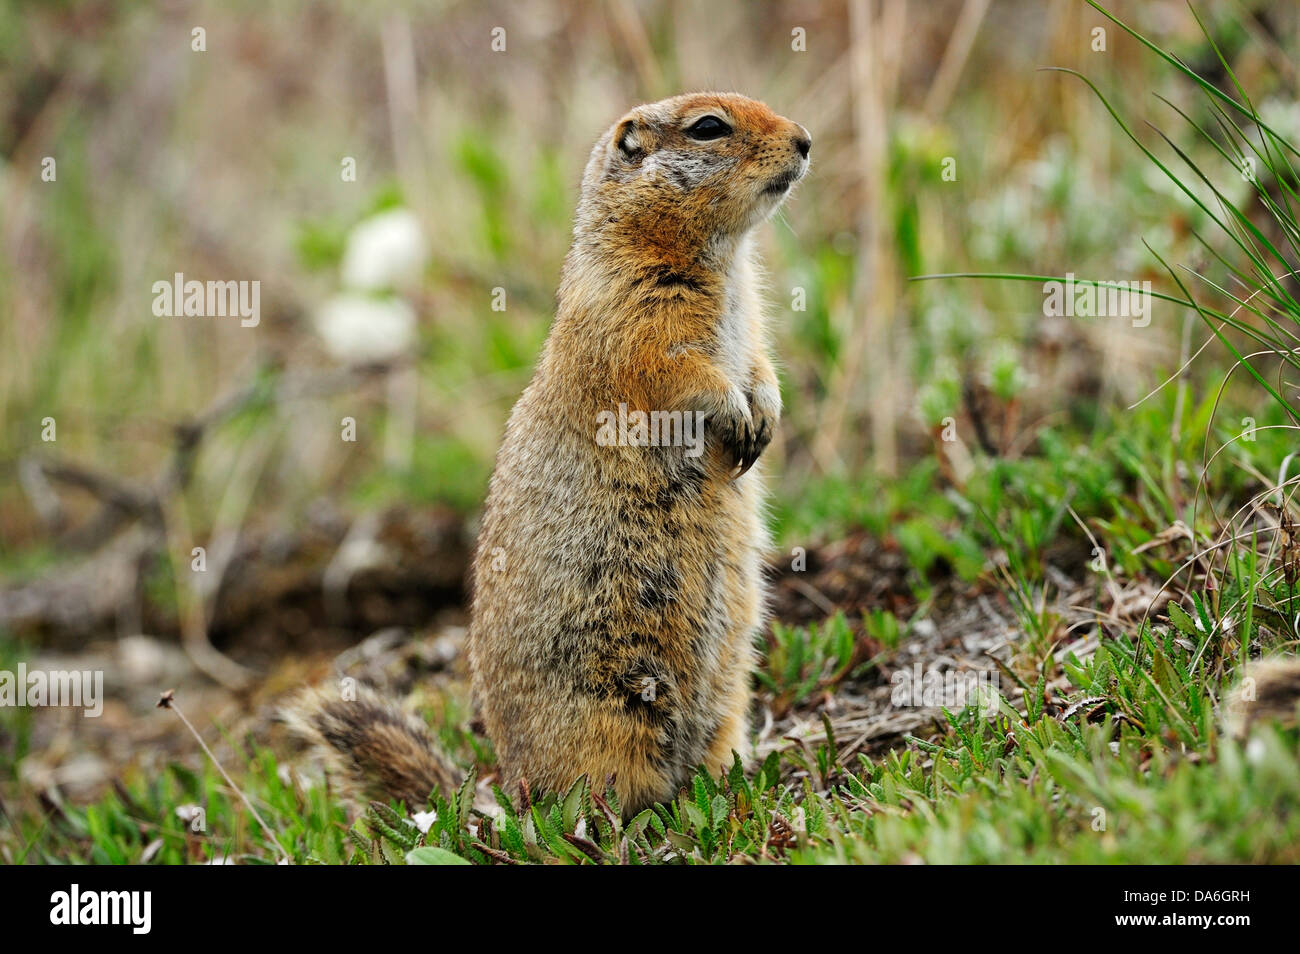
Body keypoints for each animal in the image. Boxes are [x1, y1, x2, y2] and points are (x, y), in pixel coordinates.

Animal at [288, 92, 810, 817]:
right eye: (709, 127)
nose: (807, 140)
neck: (720, 259)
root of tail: (503, 792)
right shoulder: (634, 315)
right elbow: (673, 372)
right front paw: (733, 410)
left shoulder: (750, 320)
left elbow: (759, 361)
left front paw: (763, 413)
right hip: (602, 723)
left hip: (729, 698)